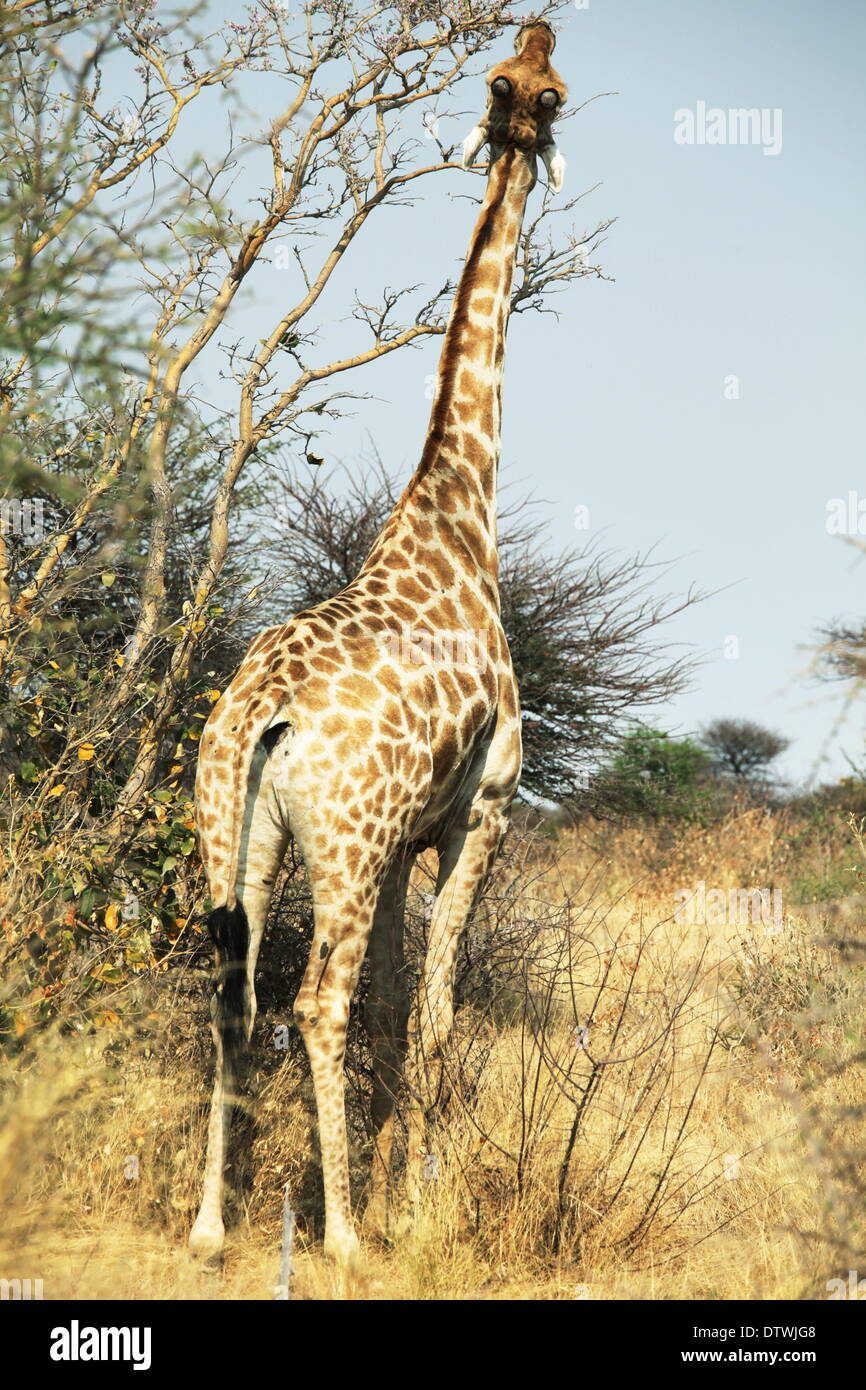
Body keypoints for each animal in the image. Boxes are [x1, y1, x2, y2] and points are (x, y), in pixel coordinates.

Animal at [189, 20, 567, 1266]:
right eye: (544, 86)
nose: (538, 32)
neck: (455, 514)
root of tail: (263, 716)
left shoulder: (405, 838)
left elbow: (404, 1011)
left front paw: (405, 1187)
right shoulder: (476, 812)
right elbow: (440, 1009)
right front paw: (419, 1203)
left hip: (235, 832)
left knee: (230, 991)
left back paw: (210, 1225)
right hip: (342, 849)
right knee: (313, 1001)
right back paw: (342, 1234)